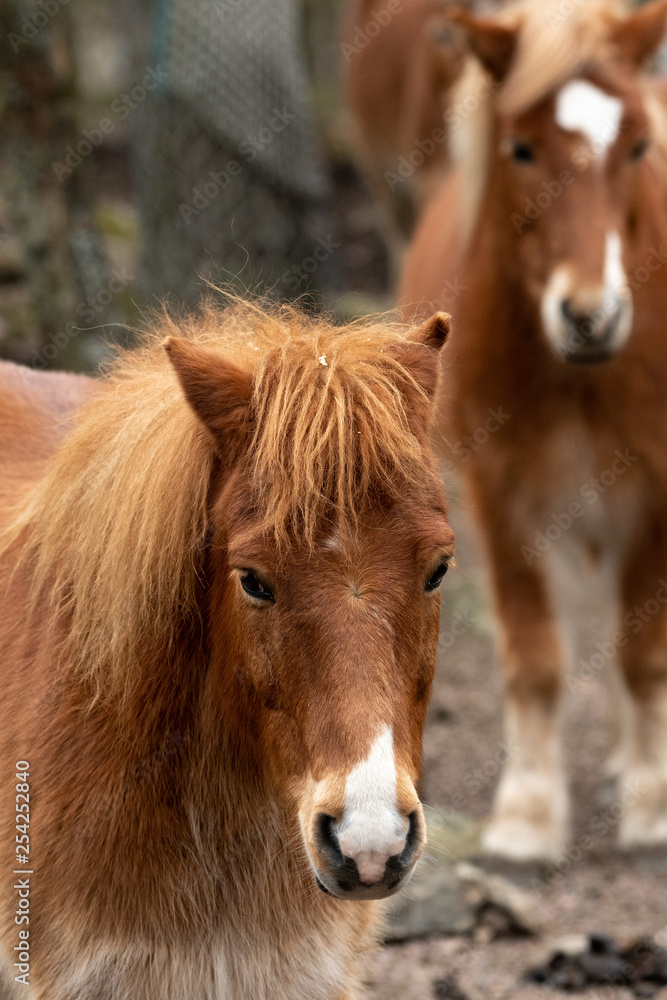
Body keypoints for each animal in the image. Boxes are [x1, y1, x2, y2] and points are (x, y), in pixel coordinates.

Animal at [400, 0, 667, 861]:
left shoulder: (651, 487)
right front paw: (525, 814)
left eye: (637, 145)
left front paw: (652, 804)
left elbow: (642, 652)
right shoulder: (501, 490)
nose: (591, 316)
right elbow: (535, 655)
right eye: (519, 148)